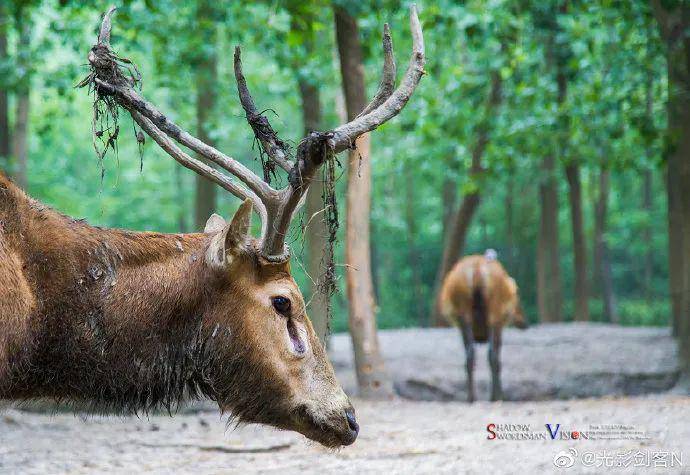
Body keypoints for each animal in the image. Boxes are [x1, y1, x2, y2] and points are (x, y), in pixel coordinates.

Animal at [438, 251, 527, 403]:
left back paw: (471, 397)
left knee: (470, 353)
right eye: (518, 293)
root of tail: (477, 270)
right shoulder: (500, 325)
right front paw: (499, 395)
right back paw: (495, 397)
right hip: (494, 312)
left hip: (464, 313)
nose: (524, 322)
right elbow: (498, 357)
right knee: (492, 354)